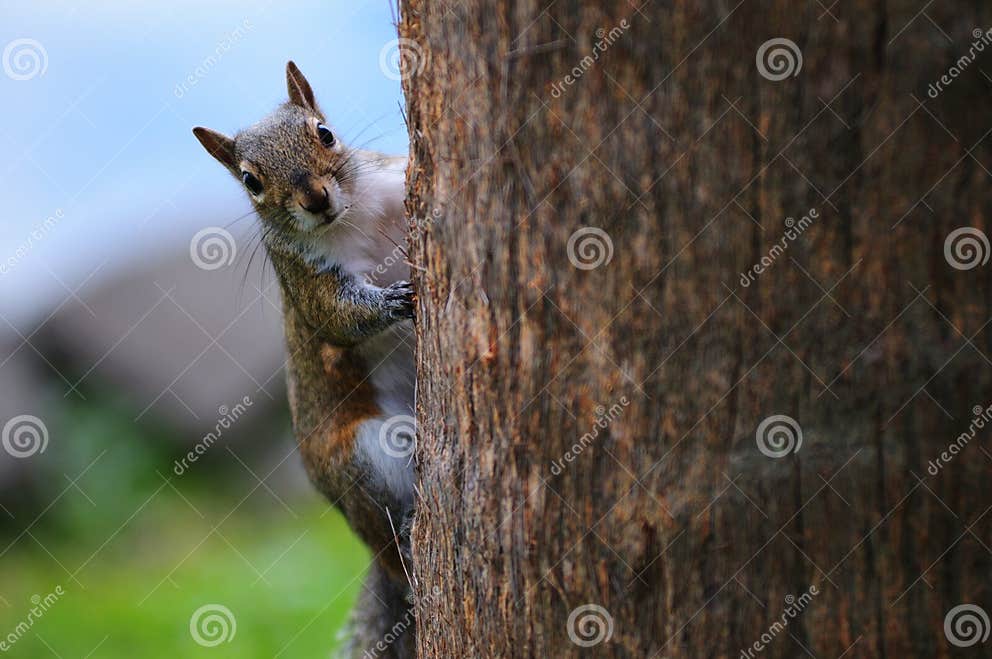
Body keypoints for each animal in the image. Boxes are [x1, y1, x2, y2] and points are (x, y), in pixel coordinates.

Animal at [193, 62, 417, 658]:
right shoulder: (303, 276)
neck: (354, 217)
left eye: (325, 133)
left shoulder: (394, 181)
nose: (315, 198)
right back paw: (408, 535)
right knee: (391, 535)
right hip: (365, 456)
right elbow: (338, 317)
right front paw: (395, 302)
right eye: (250, 180)